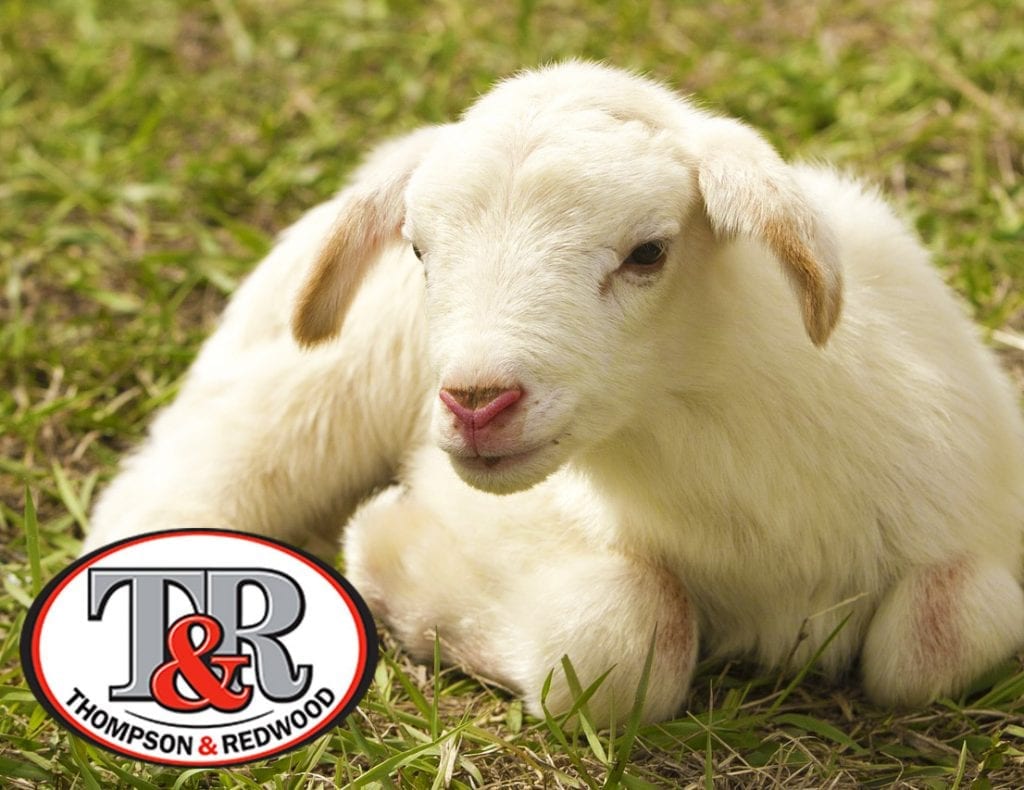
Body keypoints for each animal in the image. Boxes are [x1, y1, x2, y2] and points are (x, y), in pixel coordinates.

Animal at [84, 61, 1024, 726]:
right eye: (419, 251)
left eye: (649, 252)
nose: (476, 401)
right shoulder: (498, 524)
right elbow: (627, 638)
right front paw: (391, 558)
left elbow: (945, 632)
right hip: (289, 401)